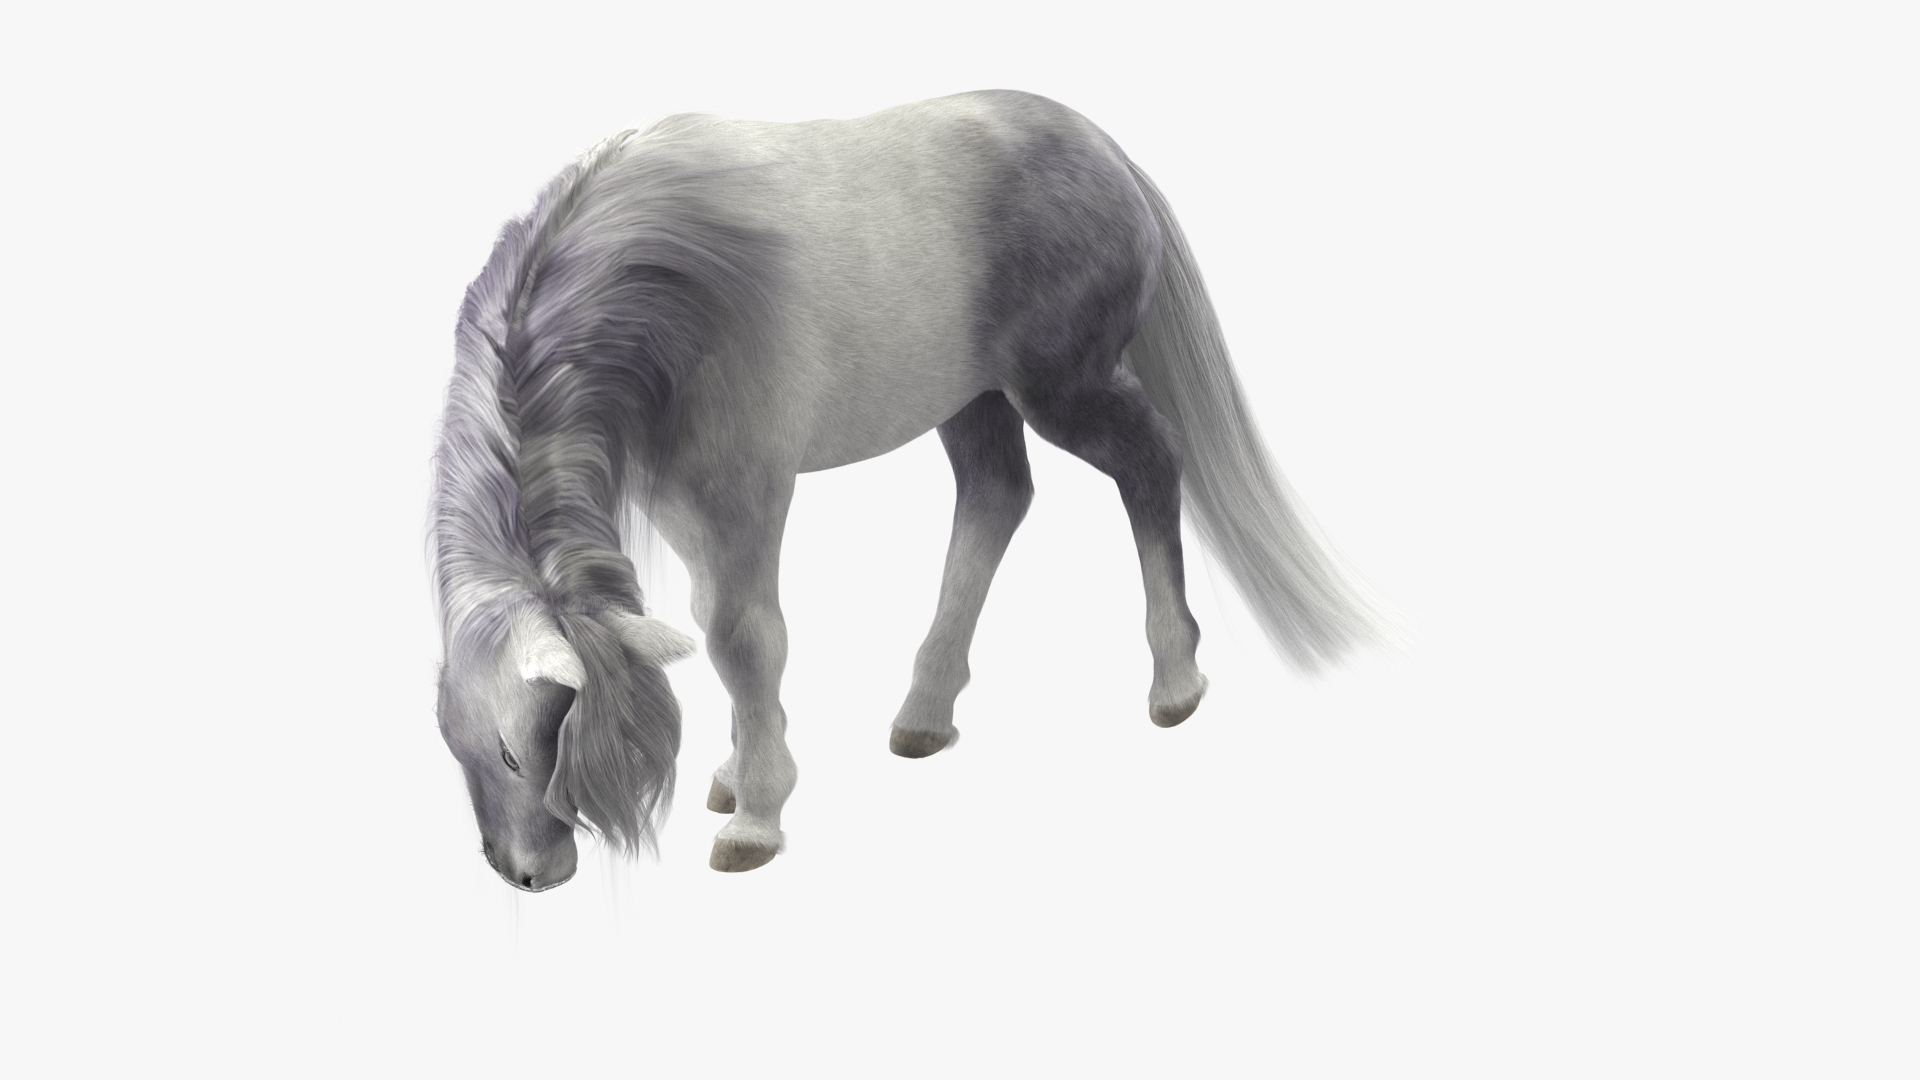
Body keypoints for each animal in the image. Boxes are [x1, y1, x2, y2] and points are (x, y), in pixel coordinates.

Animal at [429, 90, 1383, 890]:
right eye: (457, 740)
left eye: (517, 752)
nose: (527, 874)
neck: (664, 283)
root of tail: (1105, 149)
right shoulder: (682, 504)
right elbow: (709, 624)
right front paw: (735, 776)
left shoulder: (744, 493)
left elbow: (743, 638)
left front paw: (757, 817)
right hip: (973, 399)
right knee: (998, 497)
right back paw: (926, 711)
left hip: (1063, 389)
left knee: (1149, 465)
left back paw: (1175, 681)